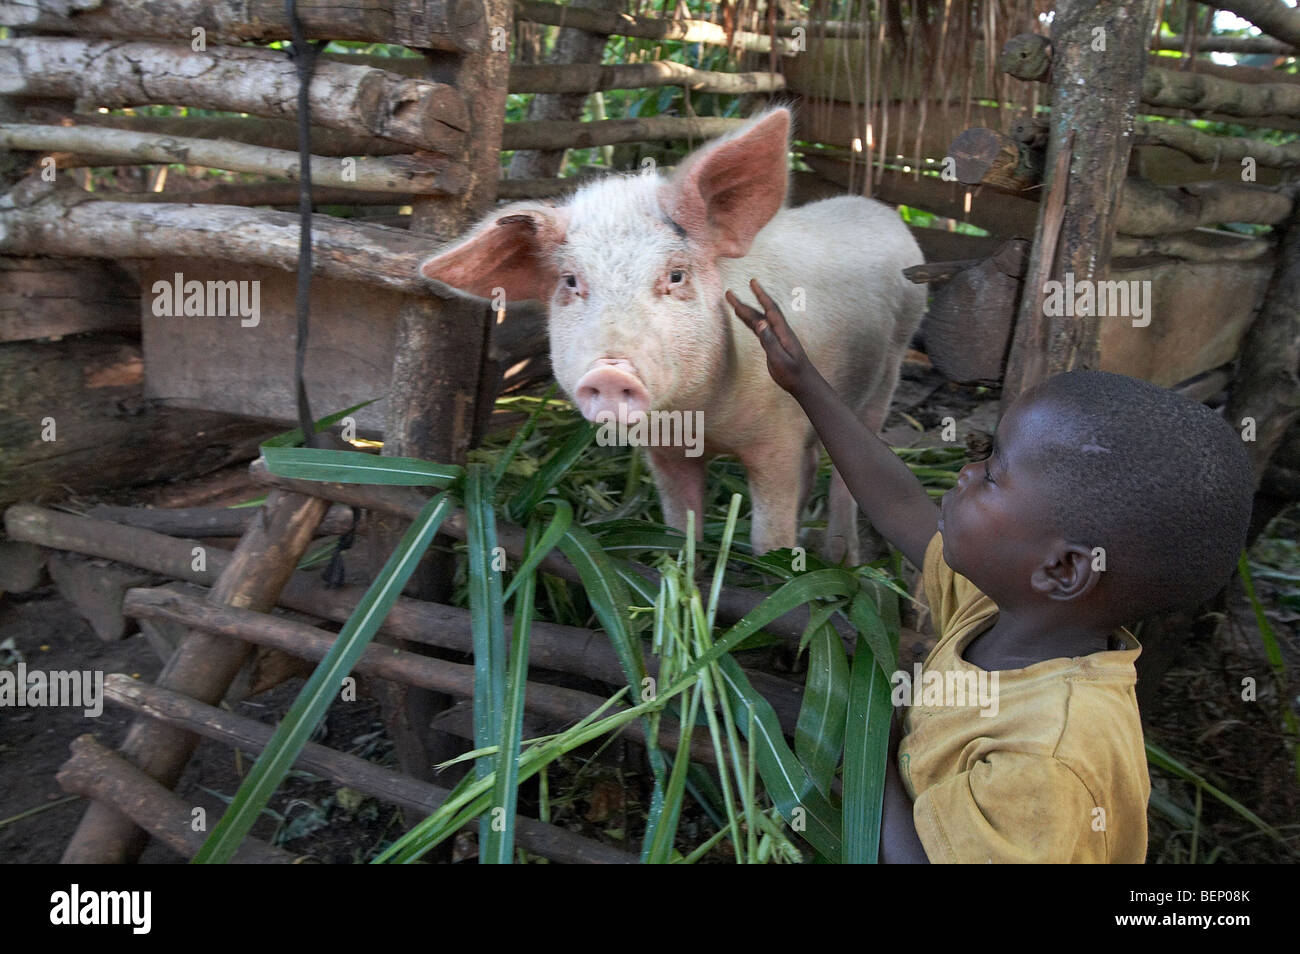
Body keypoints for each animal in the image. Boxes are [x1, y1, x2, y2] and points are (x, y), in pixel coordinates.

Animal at [419, 106, 925, 563]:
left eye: (676, 275)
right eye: (571, 282)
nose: (610, 372)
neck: (703, 420)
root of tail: (880, 210)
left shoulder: (777, 436)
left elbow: (769, 534)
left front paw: (777, 565)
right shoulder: (663, 451)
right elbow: (681, 527)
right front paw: (686, 570)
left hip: (890, 366)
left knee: (850, 469)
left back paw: (844, 560)